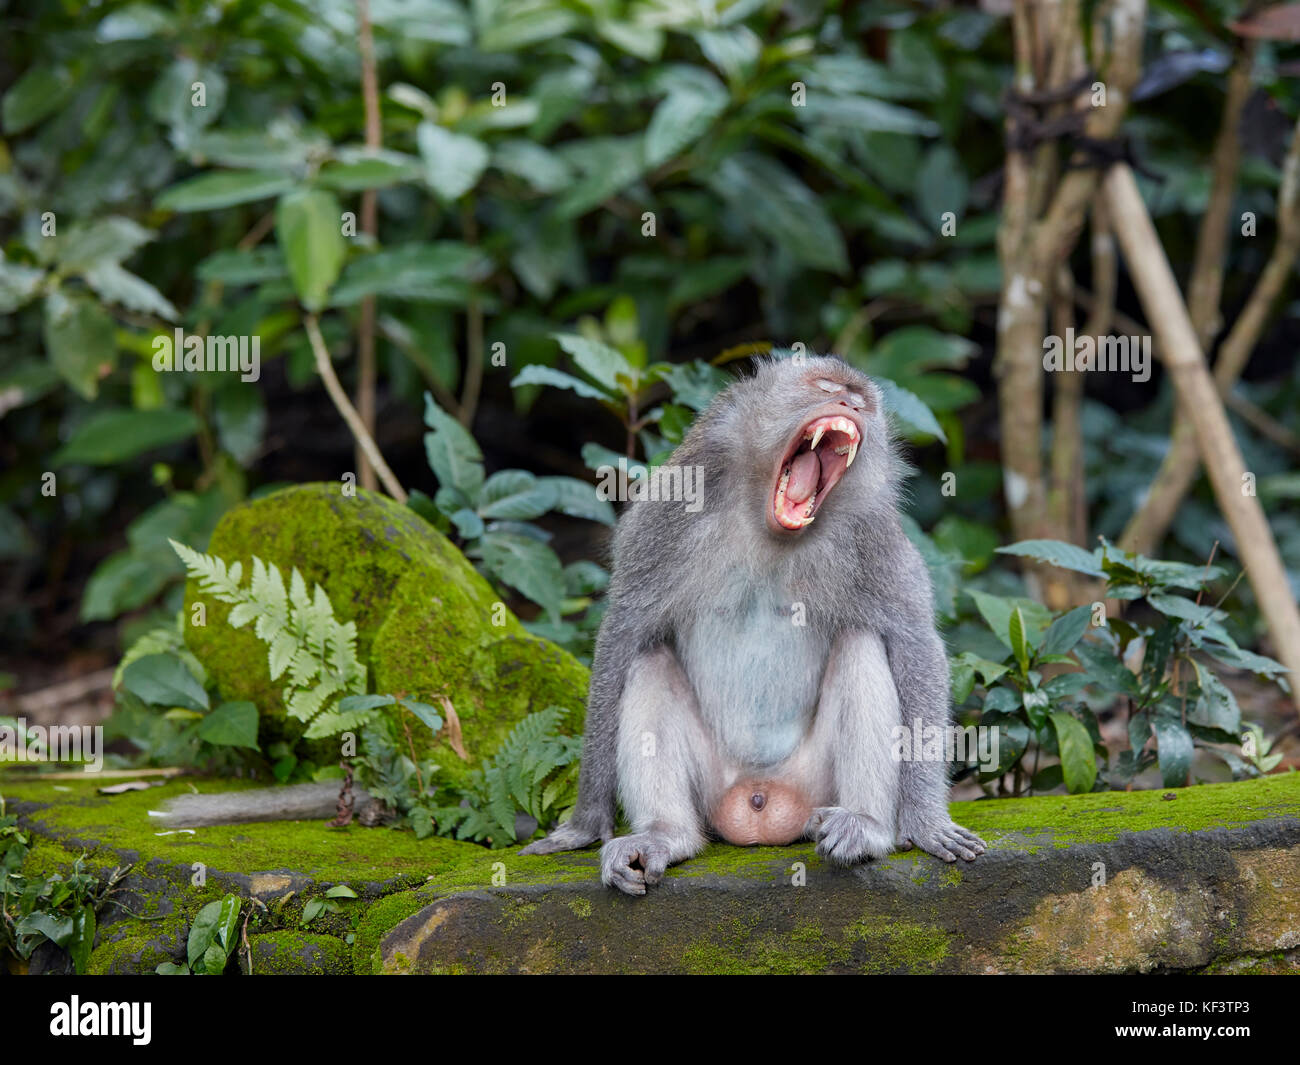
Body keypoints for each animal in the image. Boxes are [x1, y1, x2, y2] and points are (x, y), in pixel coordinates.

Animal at [519, 355, 986, 895]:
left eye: (863, 401)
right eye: (825, 386)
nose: (849, 404)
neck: (767, 523)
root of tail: (761, 806)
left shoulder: (873, 535)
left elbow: (913, 642)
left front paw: (926, 822)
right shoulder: (666, 513)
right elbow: (624, 633)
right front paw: (585, 824)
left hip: (813, 786)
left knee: (861, 642)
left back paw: (864, 826)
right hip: (714, 786)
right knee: (649, 659)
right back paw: (664, 836)